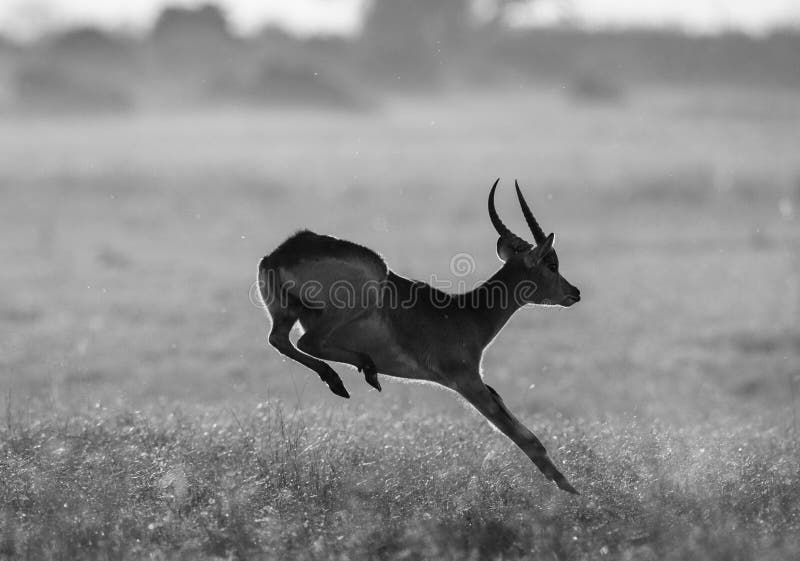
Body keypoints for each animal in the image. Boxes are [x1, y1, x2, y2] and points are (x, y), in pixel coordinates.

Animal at [257, 179, 581, 493]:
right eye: (552, 264)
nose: (574, 292)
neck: (467, 314)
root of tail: (278, 256)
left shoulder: (480, 384)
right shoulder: (466, 380)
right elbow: (522, 435)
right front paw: (570, 489)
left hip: (286, 314)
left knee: (279, 340)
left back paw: (356, 374)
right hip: (363, 289)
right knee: (307, 341)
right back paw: (358, 372)